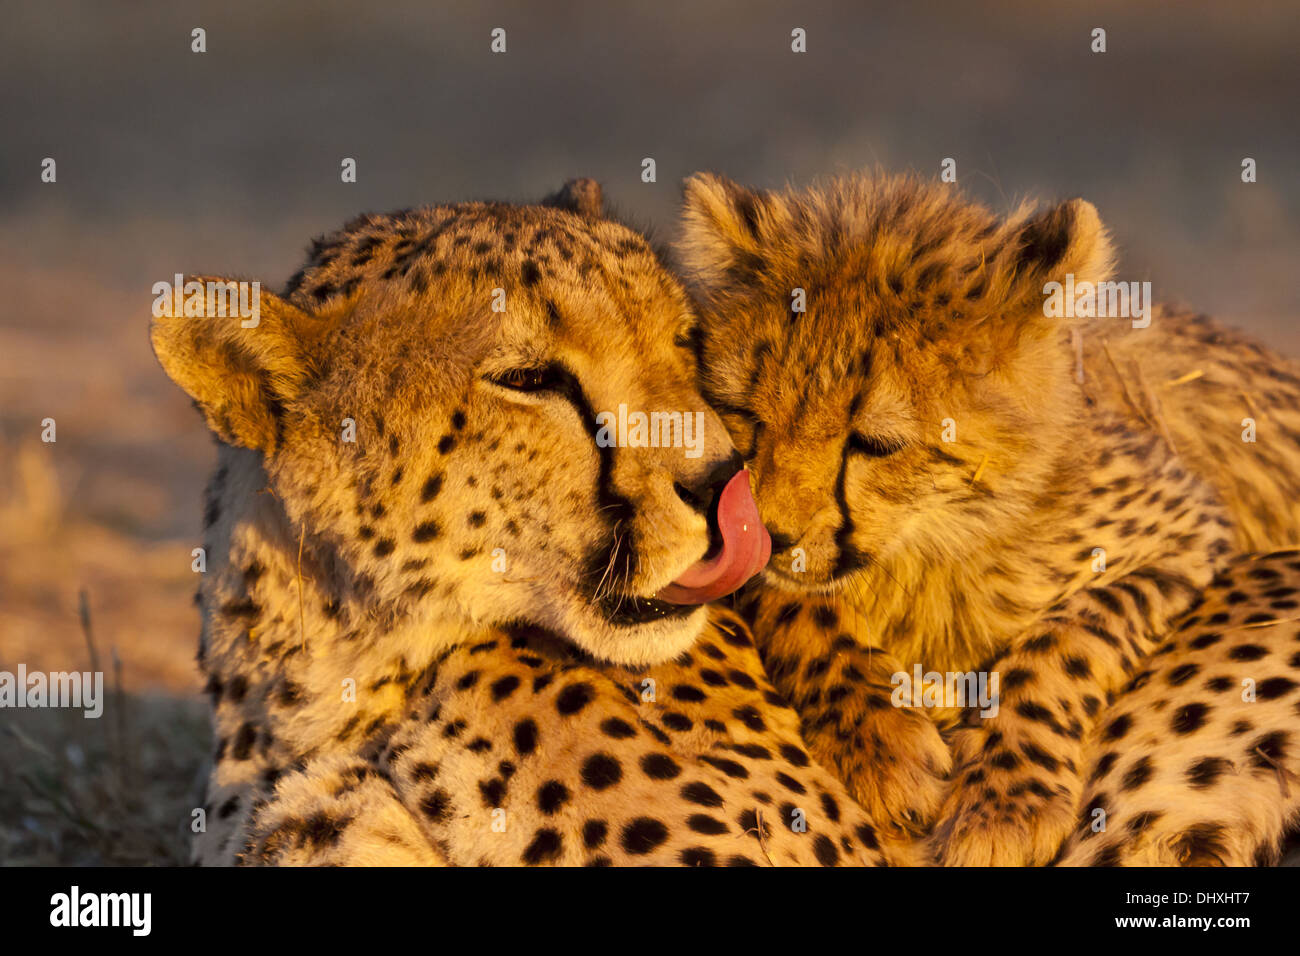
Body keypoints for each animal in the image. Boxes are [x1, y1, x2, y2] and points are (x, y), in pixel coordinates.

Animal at [676, 169, 1300, 865]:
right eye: (745, 414)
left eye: (875, 443)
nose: (773, 534)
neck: (937, 536)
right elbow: (799, 608)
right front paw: (879, 740)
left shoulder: (1187, 534)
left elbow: (1067, 637)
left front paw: (1006, 800)